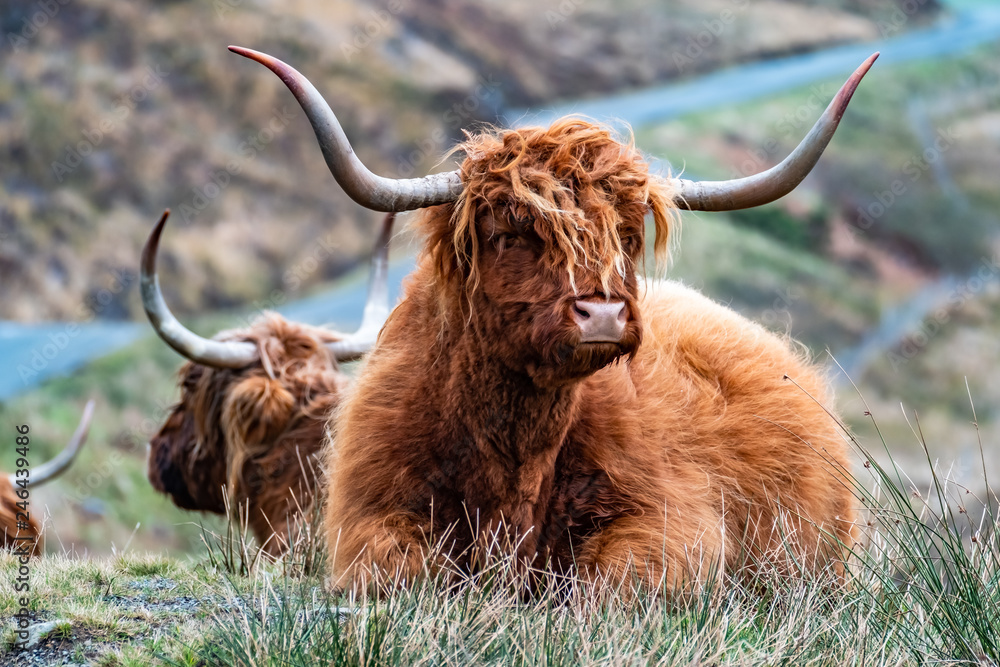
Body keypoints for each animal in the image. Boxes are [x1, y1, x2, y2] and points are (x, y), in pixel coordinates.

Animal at [231, 45, 878, 594]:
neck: (513, 456)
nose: (605, 312)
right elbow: (401, 573)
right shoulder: (369, 512)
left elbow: (612, 585)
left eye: (626, 235)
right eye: (510, 232)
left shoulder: (676, 521)